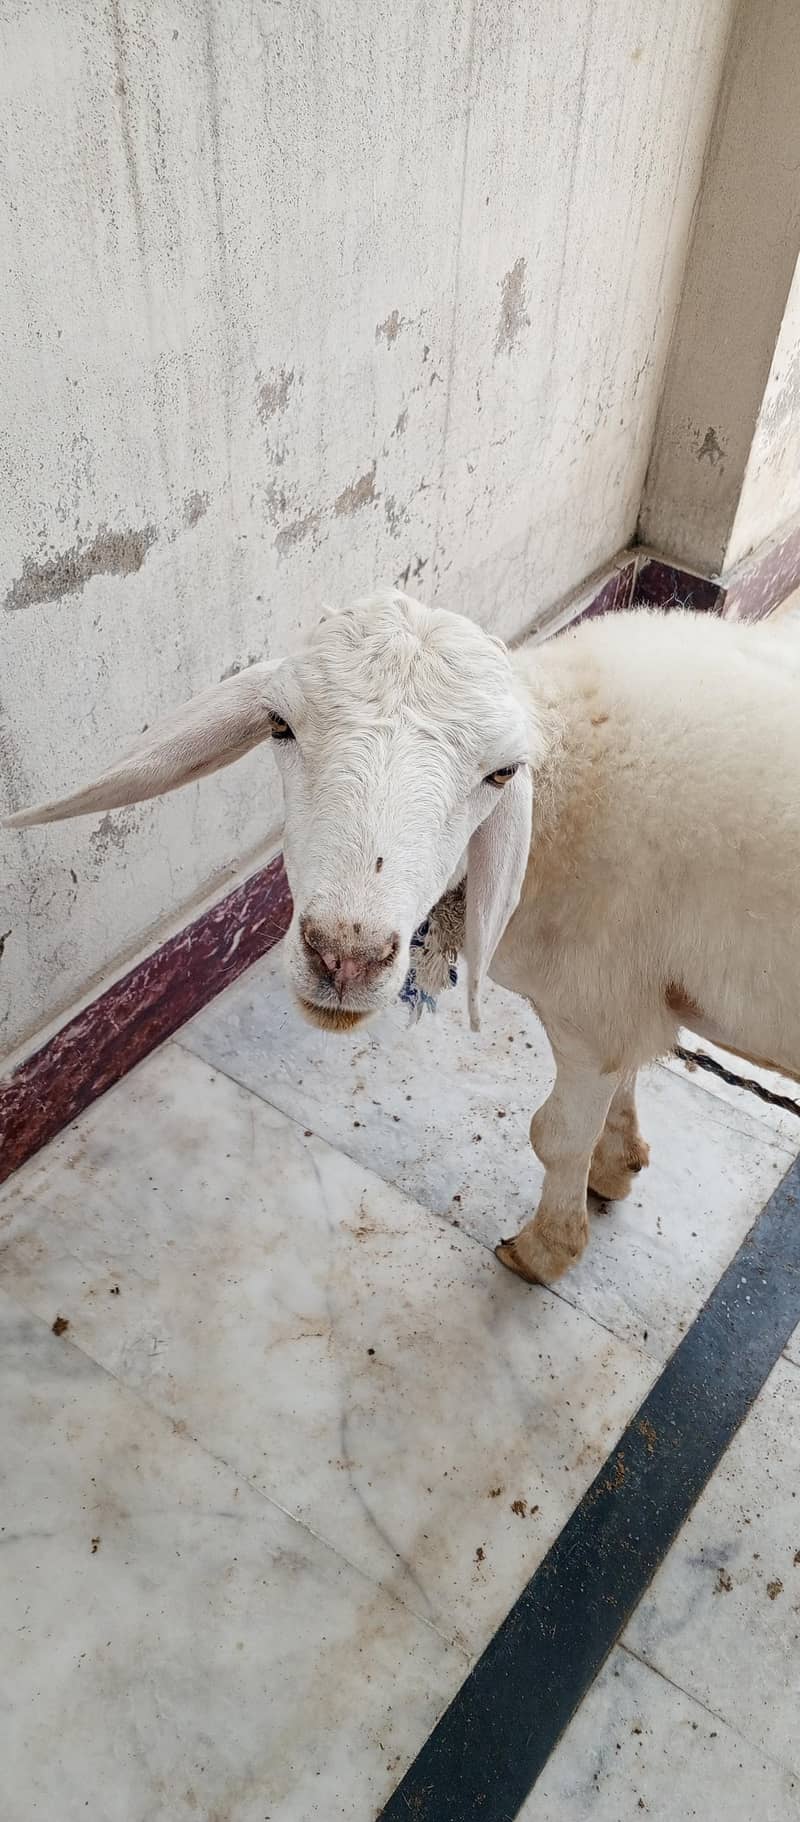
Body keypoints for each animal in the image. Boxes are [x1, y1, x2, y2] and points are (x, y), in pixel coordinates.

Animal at [7, 591, 800, 1285]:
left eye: (501, 773)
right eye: (279, 725)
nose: (346, 957)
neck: (569, 792)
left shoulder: (592, 1010)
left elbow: (554, 1136)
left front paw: (544, 1250)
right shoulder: (629, 997)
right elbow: (629, 1081)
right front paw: (618, 1164)